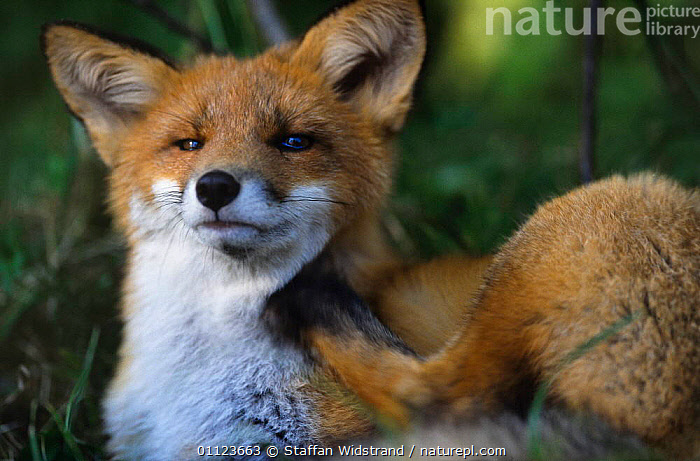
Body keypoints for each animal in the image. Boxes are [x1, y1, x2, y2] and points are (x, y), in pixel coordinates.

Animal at [41, 0, 699, 459]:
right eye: (189, 144)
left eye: (293, 141)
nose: (216, 186)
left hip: (583, 216)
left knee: (445, 396)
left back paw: (311, 301)